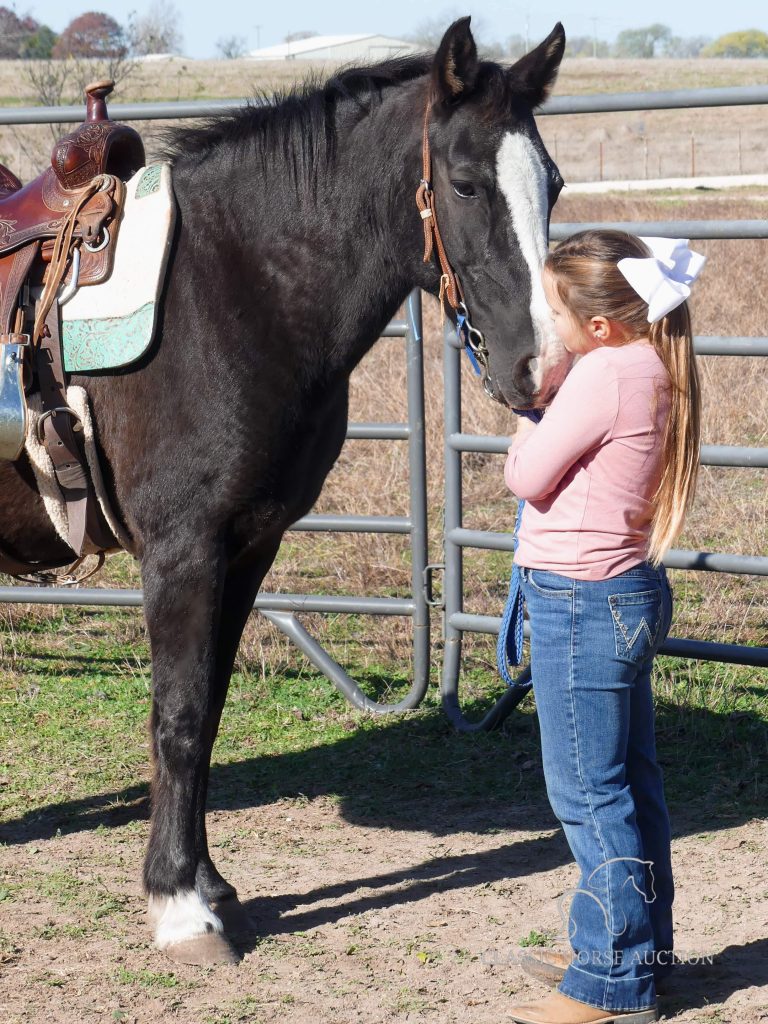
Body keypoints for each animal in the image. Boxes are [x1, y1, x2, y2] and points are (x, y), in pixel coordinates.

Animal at [0, 17, 570, 964]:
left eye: (552, 183)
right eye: (464, 180)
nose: (543, 366)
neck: (229, 287)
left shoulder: (250, 545)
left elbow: (209, 711)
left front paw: (209, 886)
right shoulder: (183, 550)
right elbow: (179, 716)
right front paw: (180, 910)